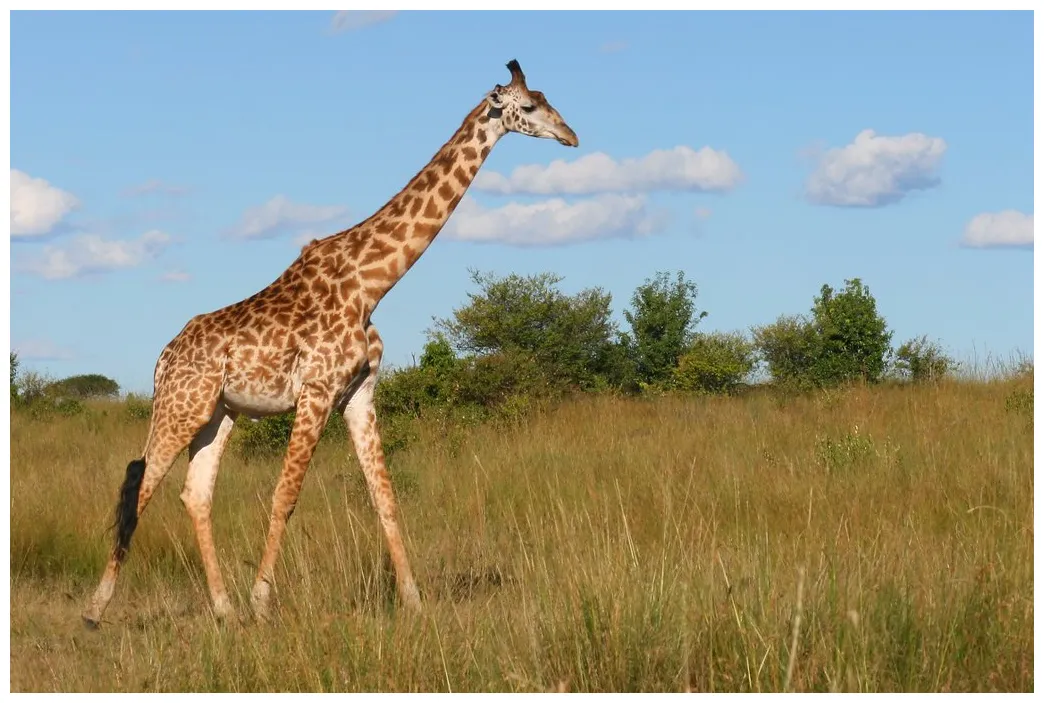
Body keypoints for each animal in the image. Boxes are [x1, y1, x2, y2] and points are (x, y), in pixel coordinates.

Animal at [82, 59, 578, 629]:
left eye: (548, 99)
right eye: (532, 106)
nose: (572, 136)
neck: (371, 284)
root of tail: (164, 358)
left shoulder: (358, 393)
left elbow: (384, 497)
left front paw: (413, 599)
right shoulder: (317, 390)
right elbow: (285, 495)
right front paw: (262, 603)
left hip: (217, 412)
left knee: (196, 492)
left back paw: (223, 610)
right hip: (179, 407)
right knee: (139, 485)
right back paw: (96, 610)